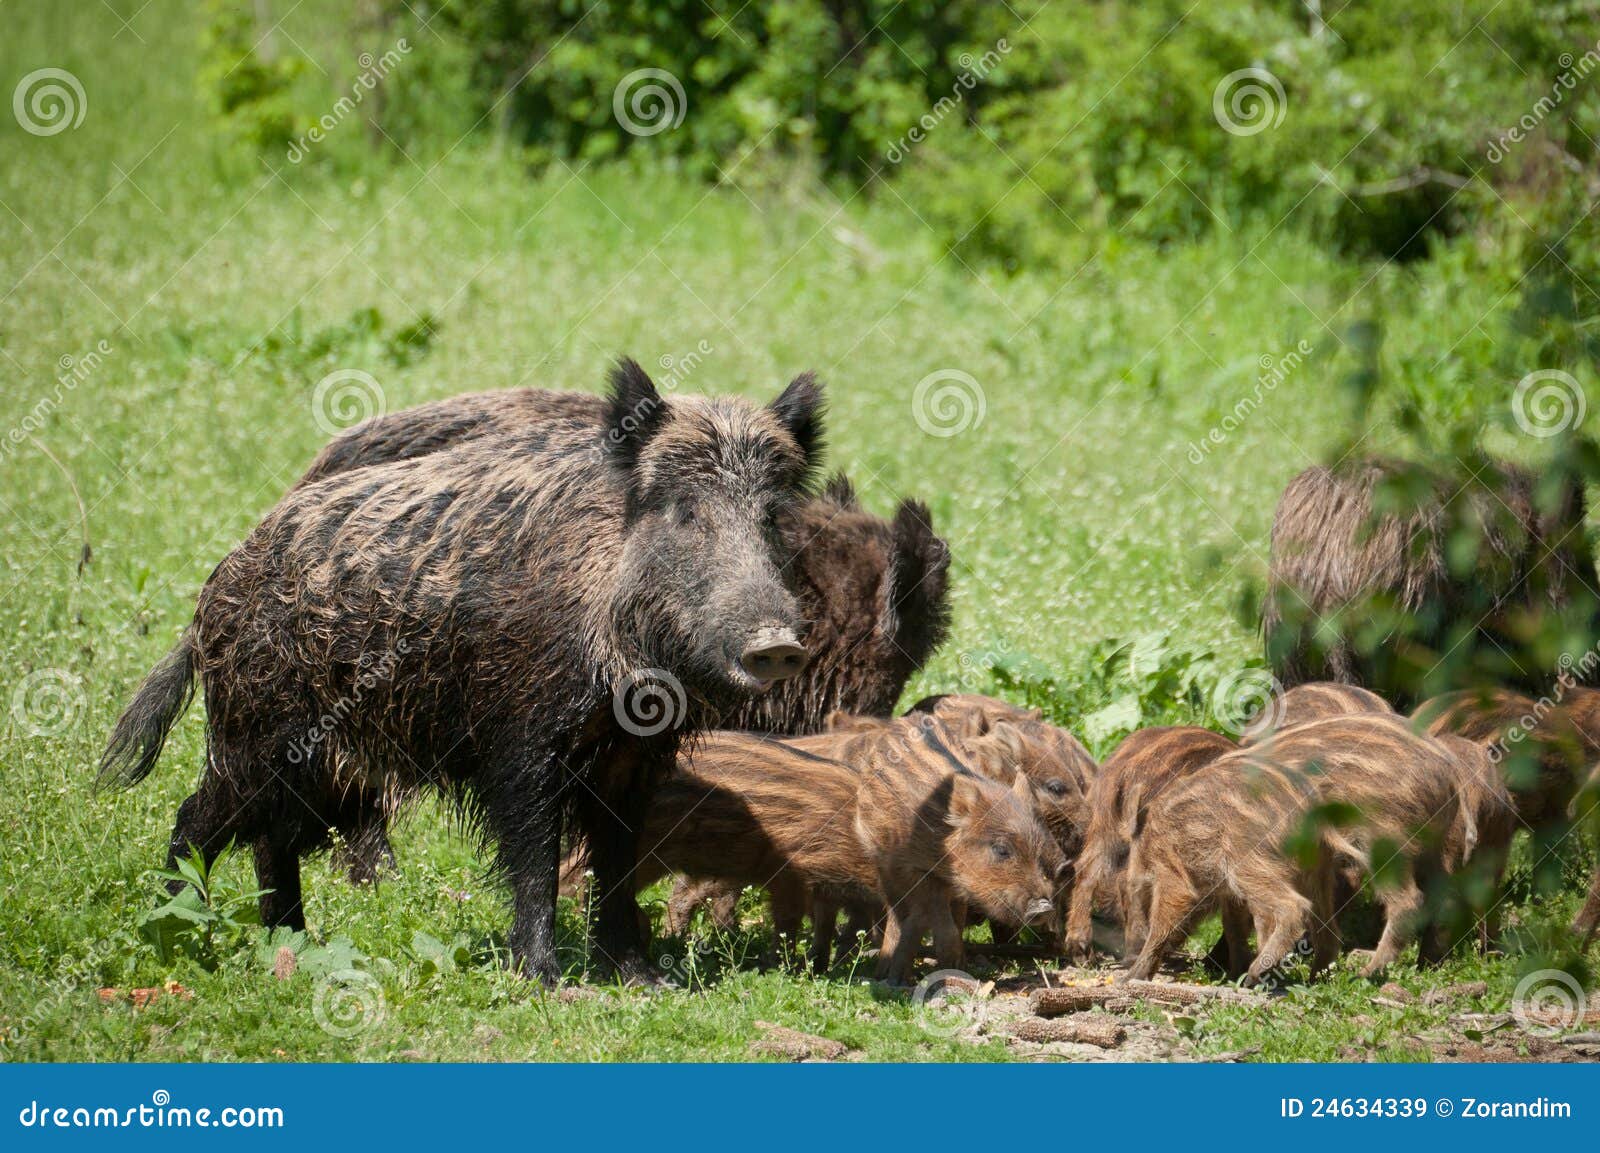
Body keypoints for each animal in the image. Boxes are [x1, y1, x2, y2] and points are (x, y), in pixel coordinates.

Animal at [98, 360, 823, 983]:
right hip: (258, 734)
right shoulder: (520, 739)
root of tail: (215, 587)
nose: (776, 644)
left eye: (772, 516)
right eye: (685, 510)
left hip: (317, 761)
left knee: (272, 838)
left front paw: (645, 980)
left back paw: (294, 948)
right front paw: (545, 979)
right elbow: (533, 857)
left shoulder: (630, 759)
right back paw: (174, 930)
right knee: (196, 818)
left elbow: (615, 863)